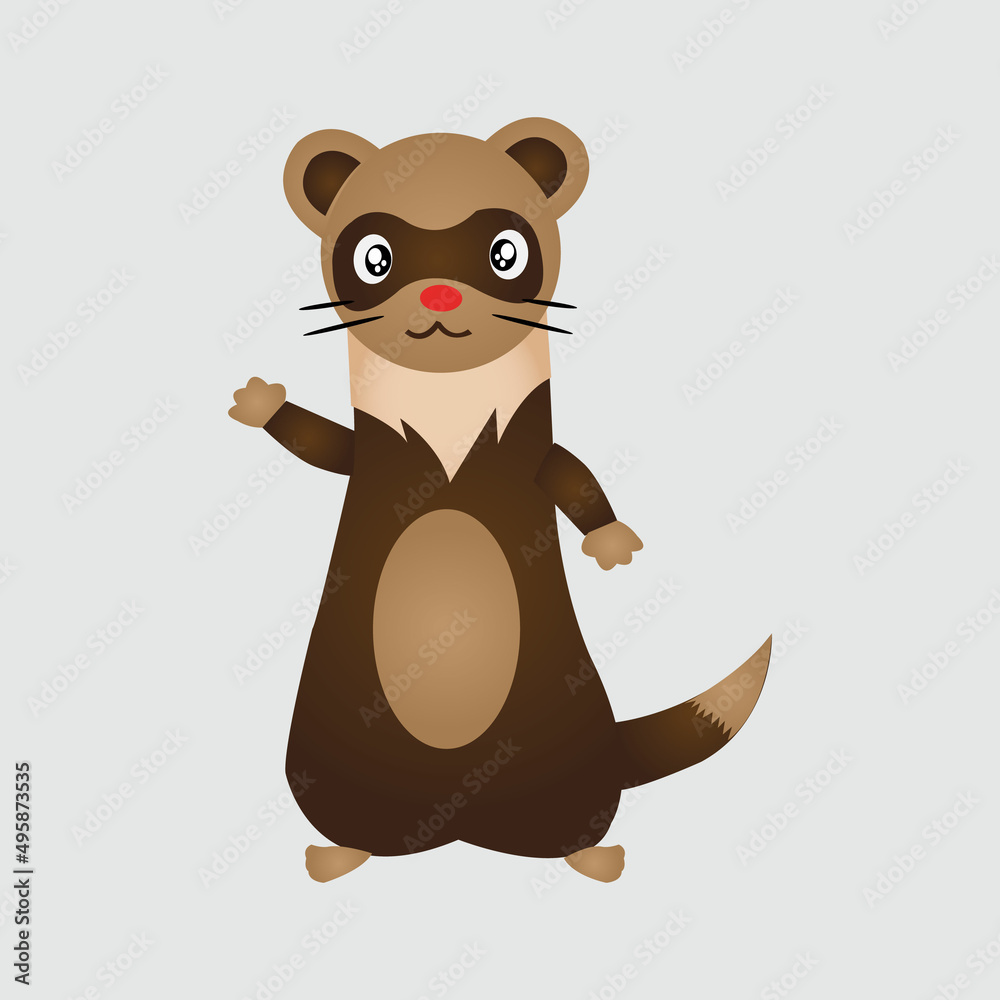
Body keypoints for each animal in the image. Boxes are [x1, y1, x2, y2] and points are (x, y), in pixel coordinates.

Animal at [229, 118, 771, 883]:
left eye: (505, 251)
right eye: (374, 256)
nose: (440, 298)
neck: (448, 413)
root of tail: (461, 822)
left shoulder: (531, 450)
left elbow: (572, 475)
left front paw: (609, 540)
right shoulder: (369, 449)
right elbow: (321, 445)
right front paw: (261, 404)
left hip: (566, 760)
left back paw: (590, 856)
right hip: (328, 762)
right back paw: (341, 852)